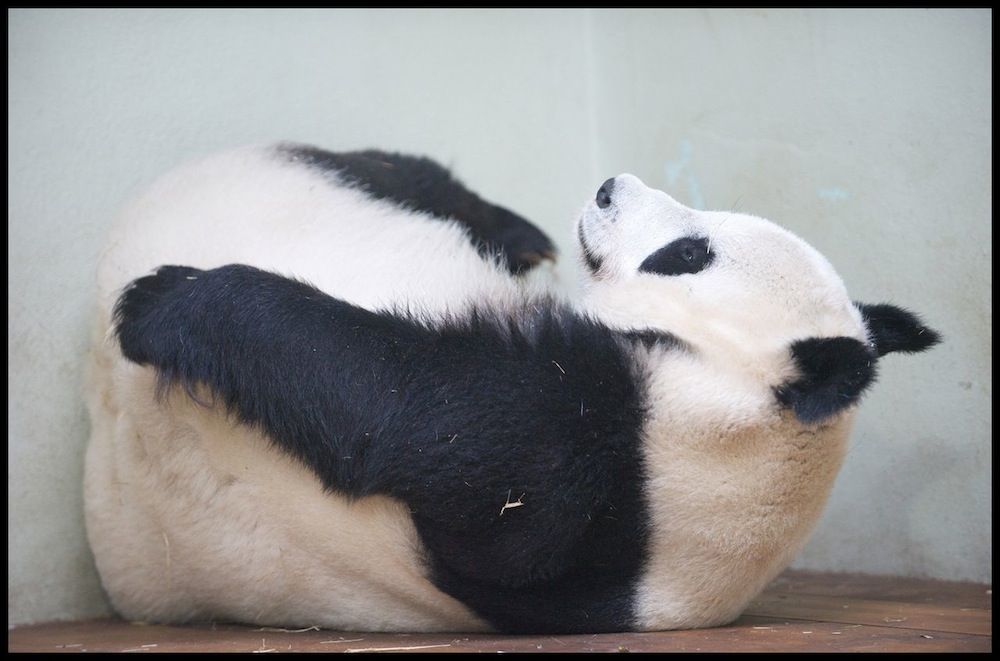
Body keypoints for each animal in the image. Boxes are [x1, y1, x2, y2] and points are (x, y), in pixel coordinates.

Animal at [85, 143, 940, 635]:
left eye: (685, 255)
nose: (609, 187)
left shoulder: (588, 448)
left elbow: (407, 408)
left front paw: (166, 300)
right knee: (409, 173)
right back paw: (515, 230)